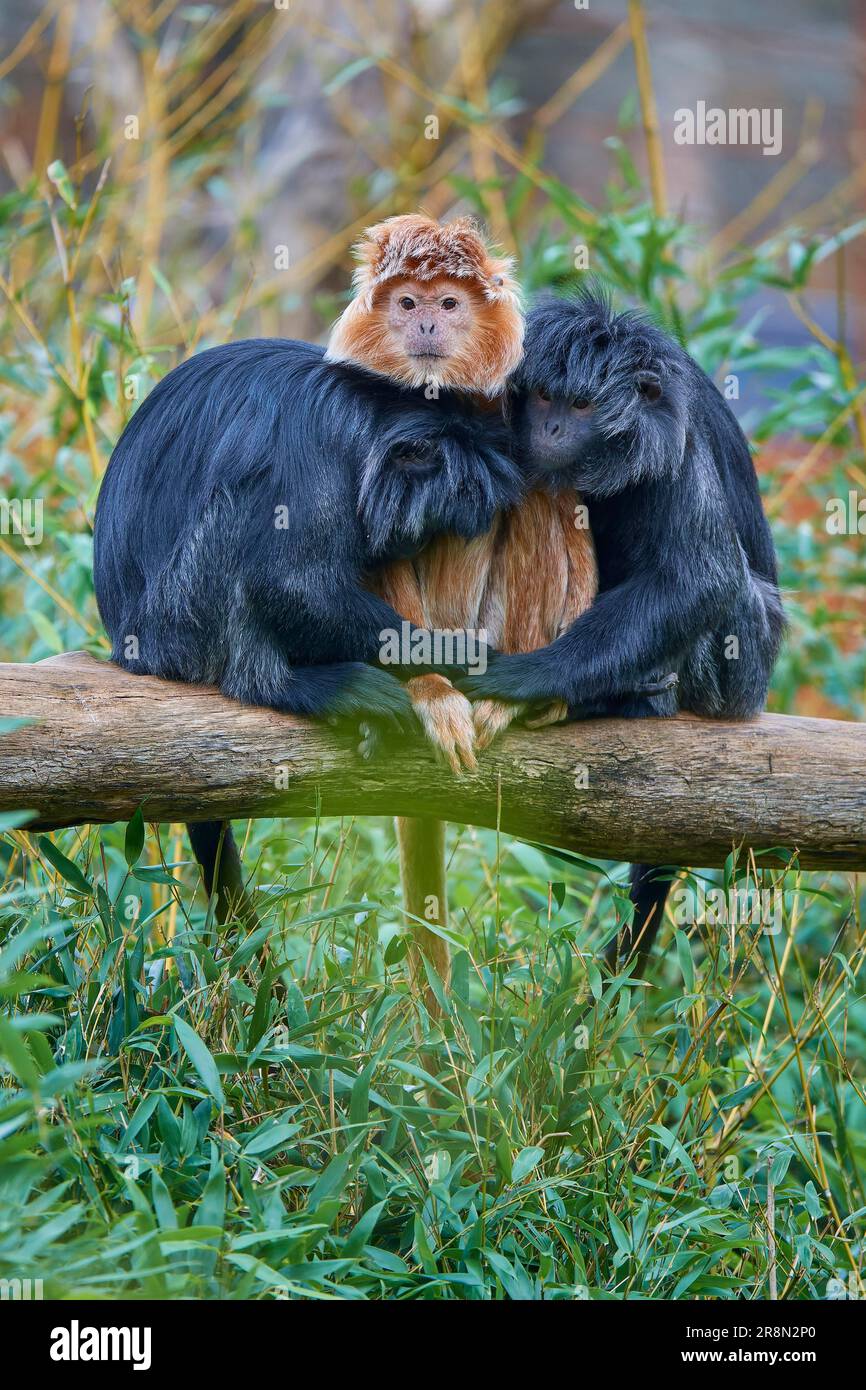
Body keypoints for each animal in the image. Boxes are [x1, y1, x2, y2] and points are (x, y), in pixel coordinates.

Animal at [458, 290, 785, 977]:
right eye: (546, 398)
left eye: (582, 407)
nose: (552, 431)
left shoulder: (673, 442)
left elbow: (699, 579)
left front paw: (527, 678)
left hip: (742, 665)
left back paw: (629, 699)